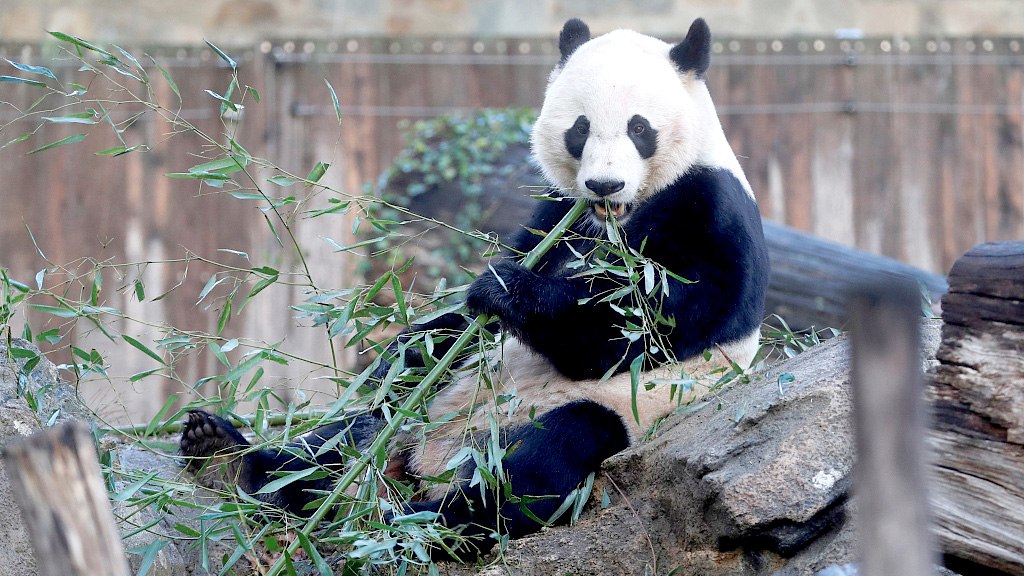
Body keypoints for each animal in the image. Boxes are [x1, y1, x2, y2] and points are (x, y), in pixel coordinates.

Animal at [180, 17, 769, 560]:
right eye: (580, 129)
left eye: (639, 128)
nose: (604, 184)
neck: (615, 219)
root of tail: (434, 462)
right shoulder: (557, 211)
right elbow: (449, 328)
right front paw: (419, 337)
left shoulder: (709, 212)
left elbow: (642, 328)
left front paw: (505, 289)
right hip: (421, 410)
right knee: (350, 433)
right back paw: (232, 459)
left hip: (605, 417)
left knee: (539, 464)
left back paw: (416, 523)